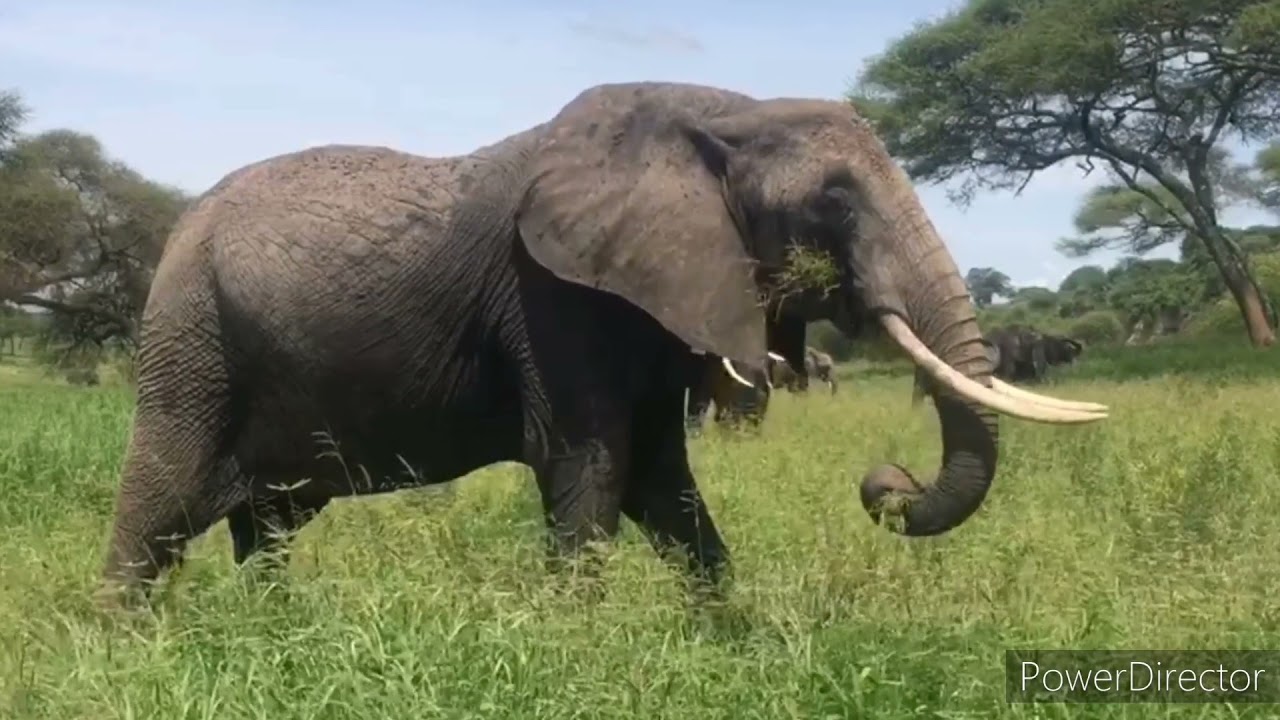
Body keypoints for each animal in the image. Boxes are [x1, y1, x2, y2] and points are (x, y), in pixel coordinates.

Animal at [95, 81, 1108, 608]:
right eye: (834, 201)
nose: (885, 482)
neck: (721, 113)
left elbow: (664, 482)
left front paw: (732, 644)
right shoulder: (552, 299)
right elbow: (590, 467)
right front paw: (569, 646)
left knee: (263, 529)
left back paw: (277, 632)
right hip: (190, 340)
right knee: (158, 505)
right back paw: (126, 652)